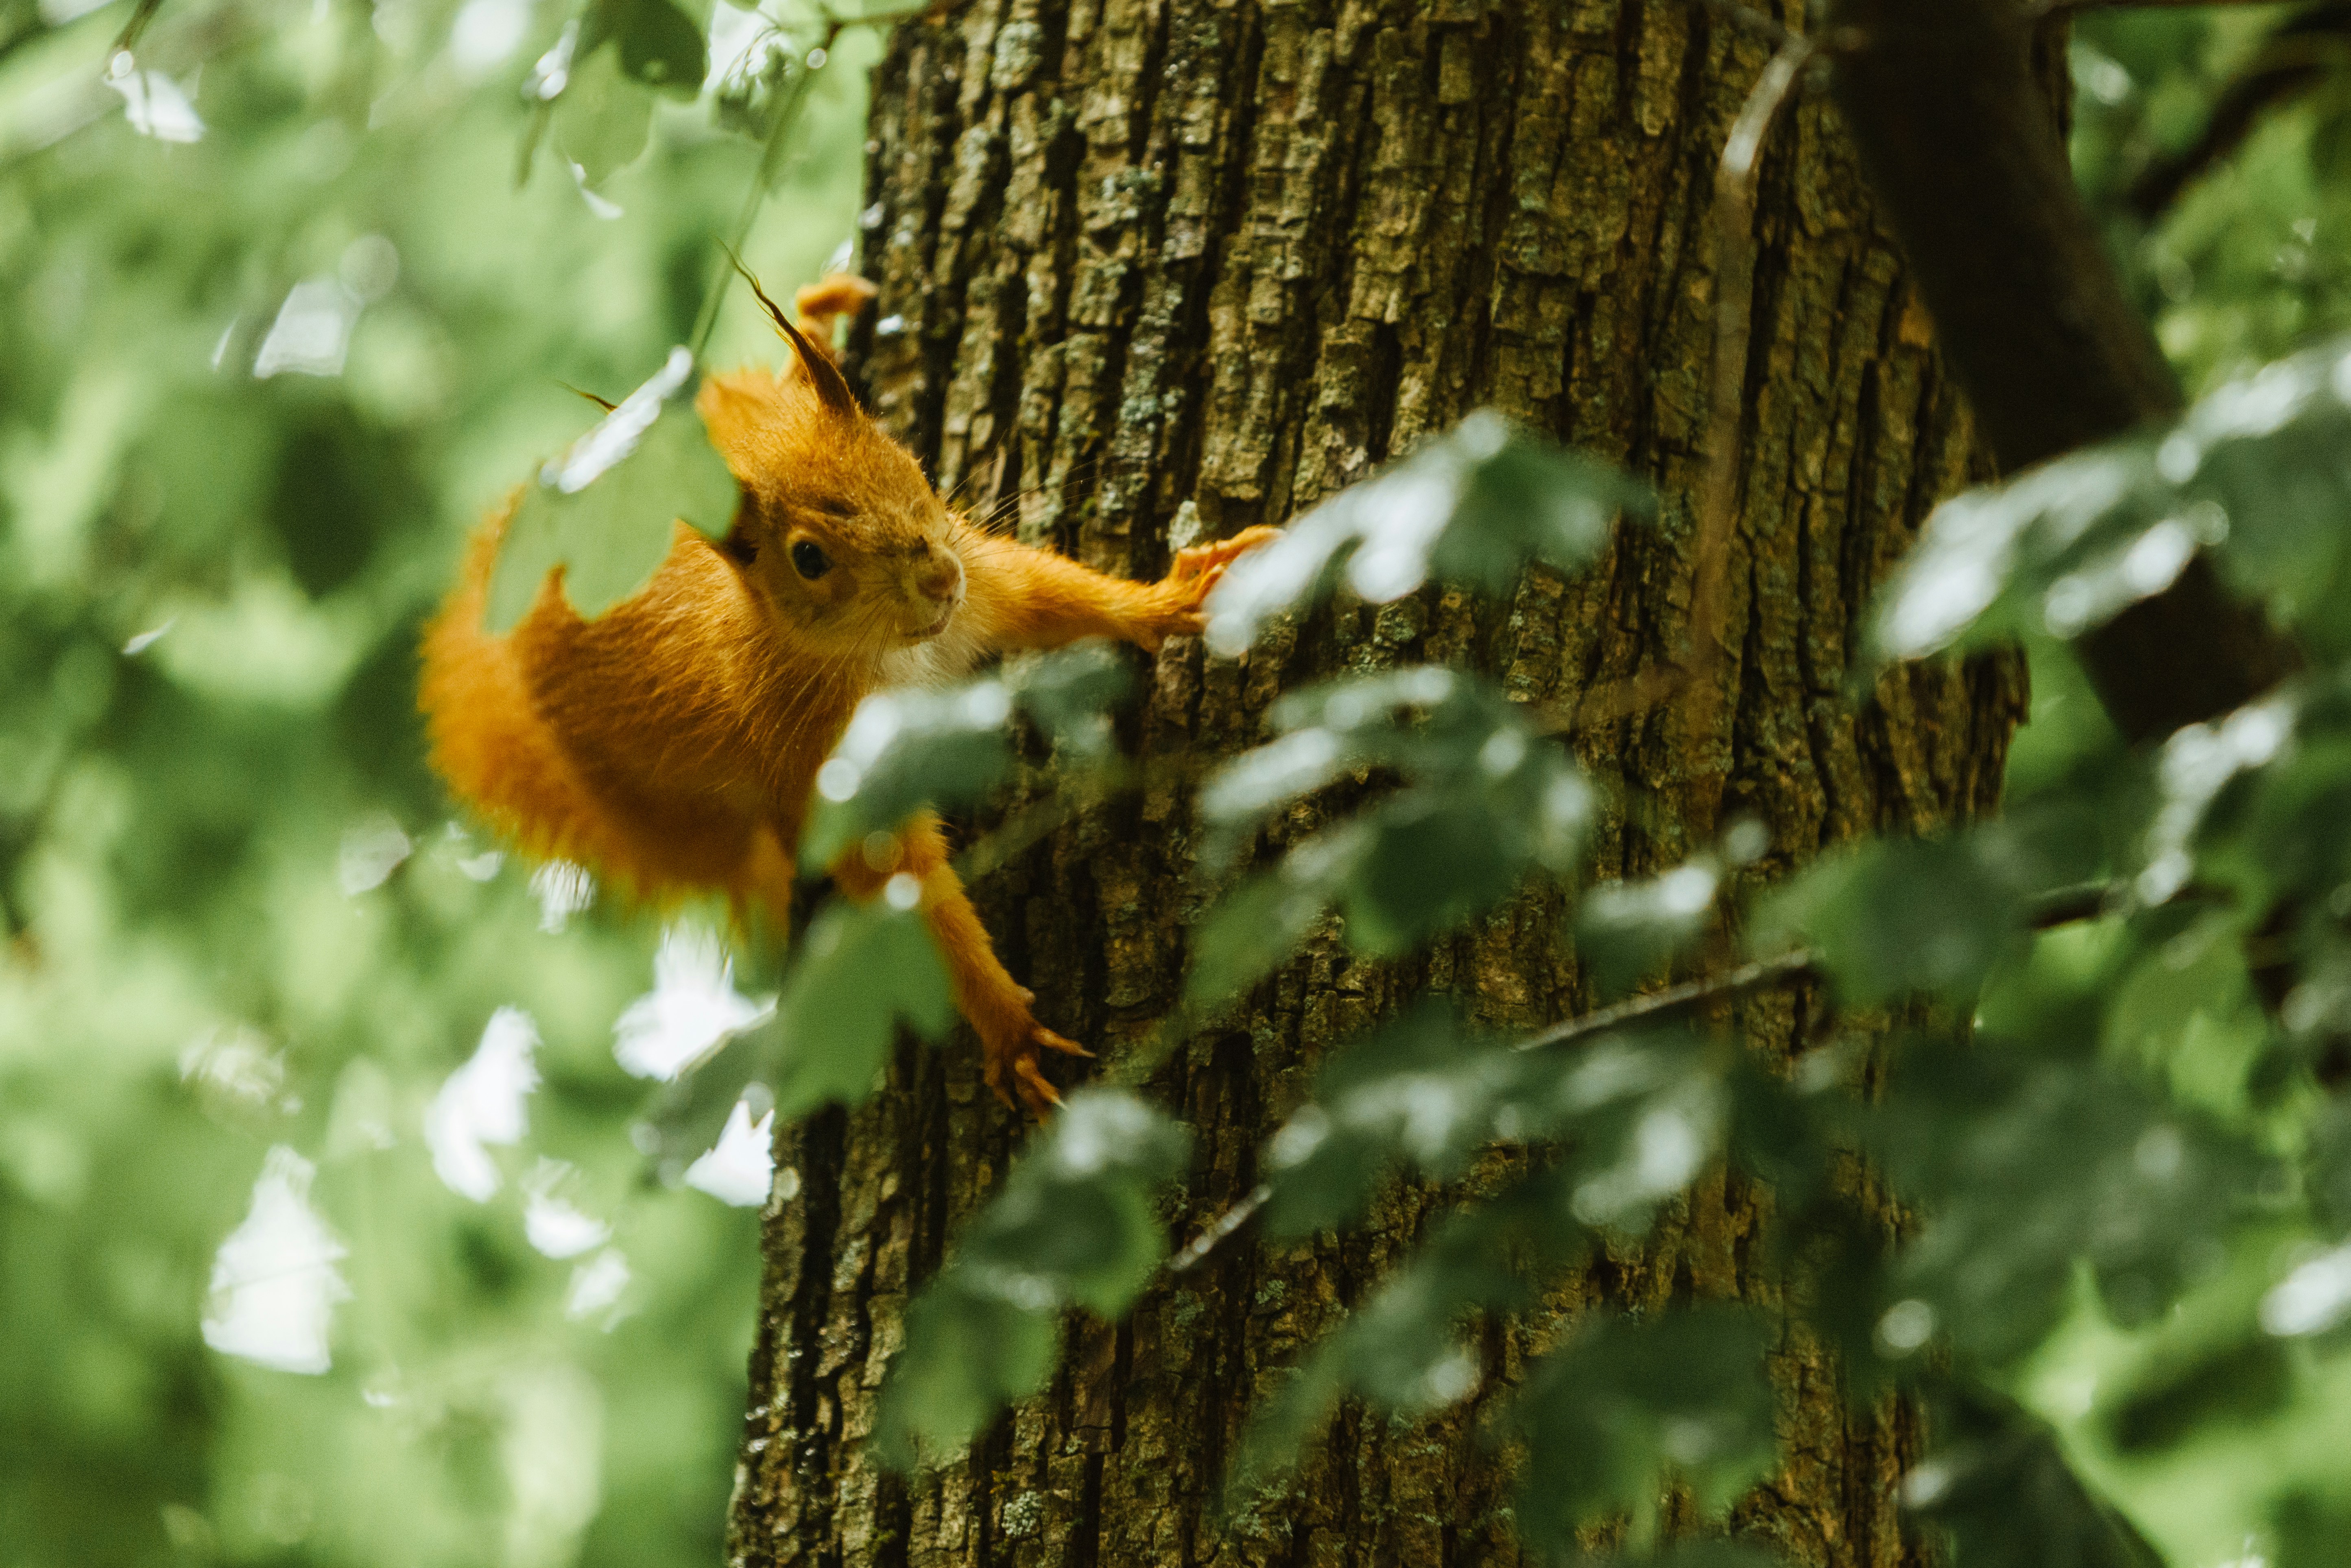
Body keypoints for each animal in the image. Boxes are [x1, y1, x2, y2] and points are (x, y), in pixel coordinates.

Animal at [419, 271, 1278, 1115]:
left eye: (906, 464)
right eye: (809, 558)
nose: (936, 578)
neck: (890, 656)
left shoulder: (984, 586)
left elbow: (1056, 598)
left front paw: (1169, 602)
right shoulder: (829, 758)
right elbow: (906, 891)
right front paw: (1007, 1031)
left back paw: (819, 315)